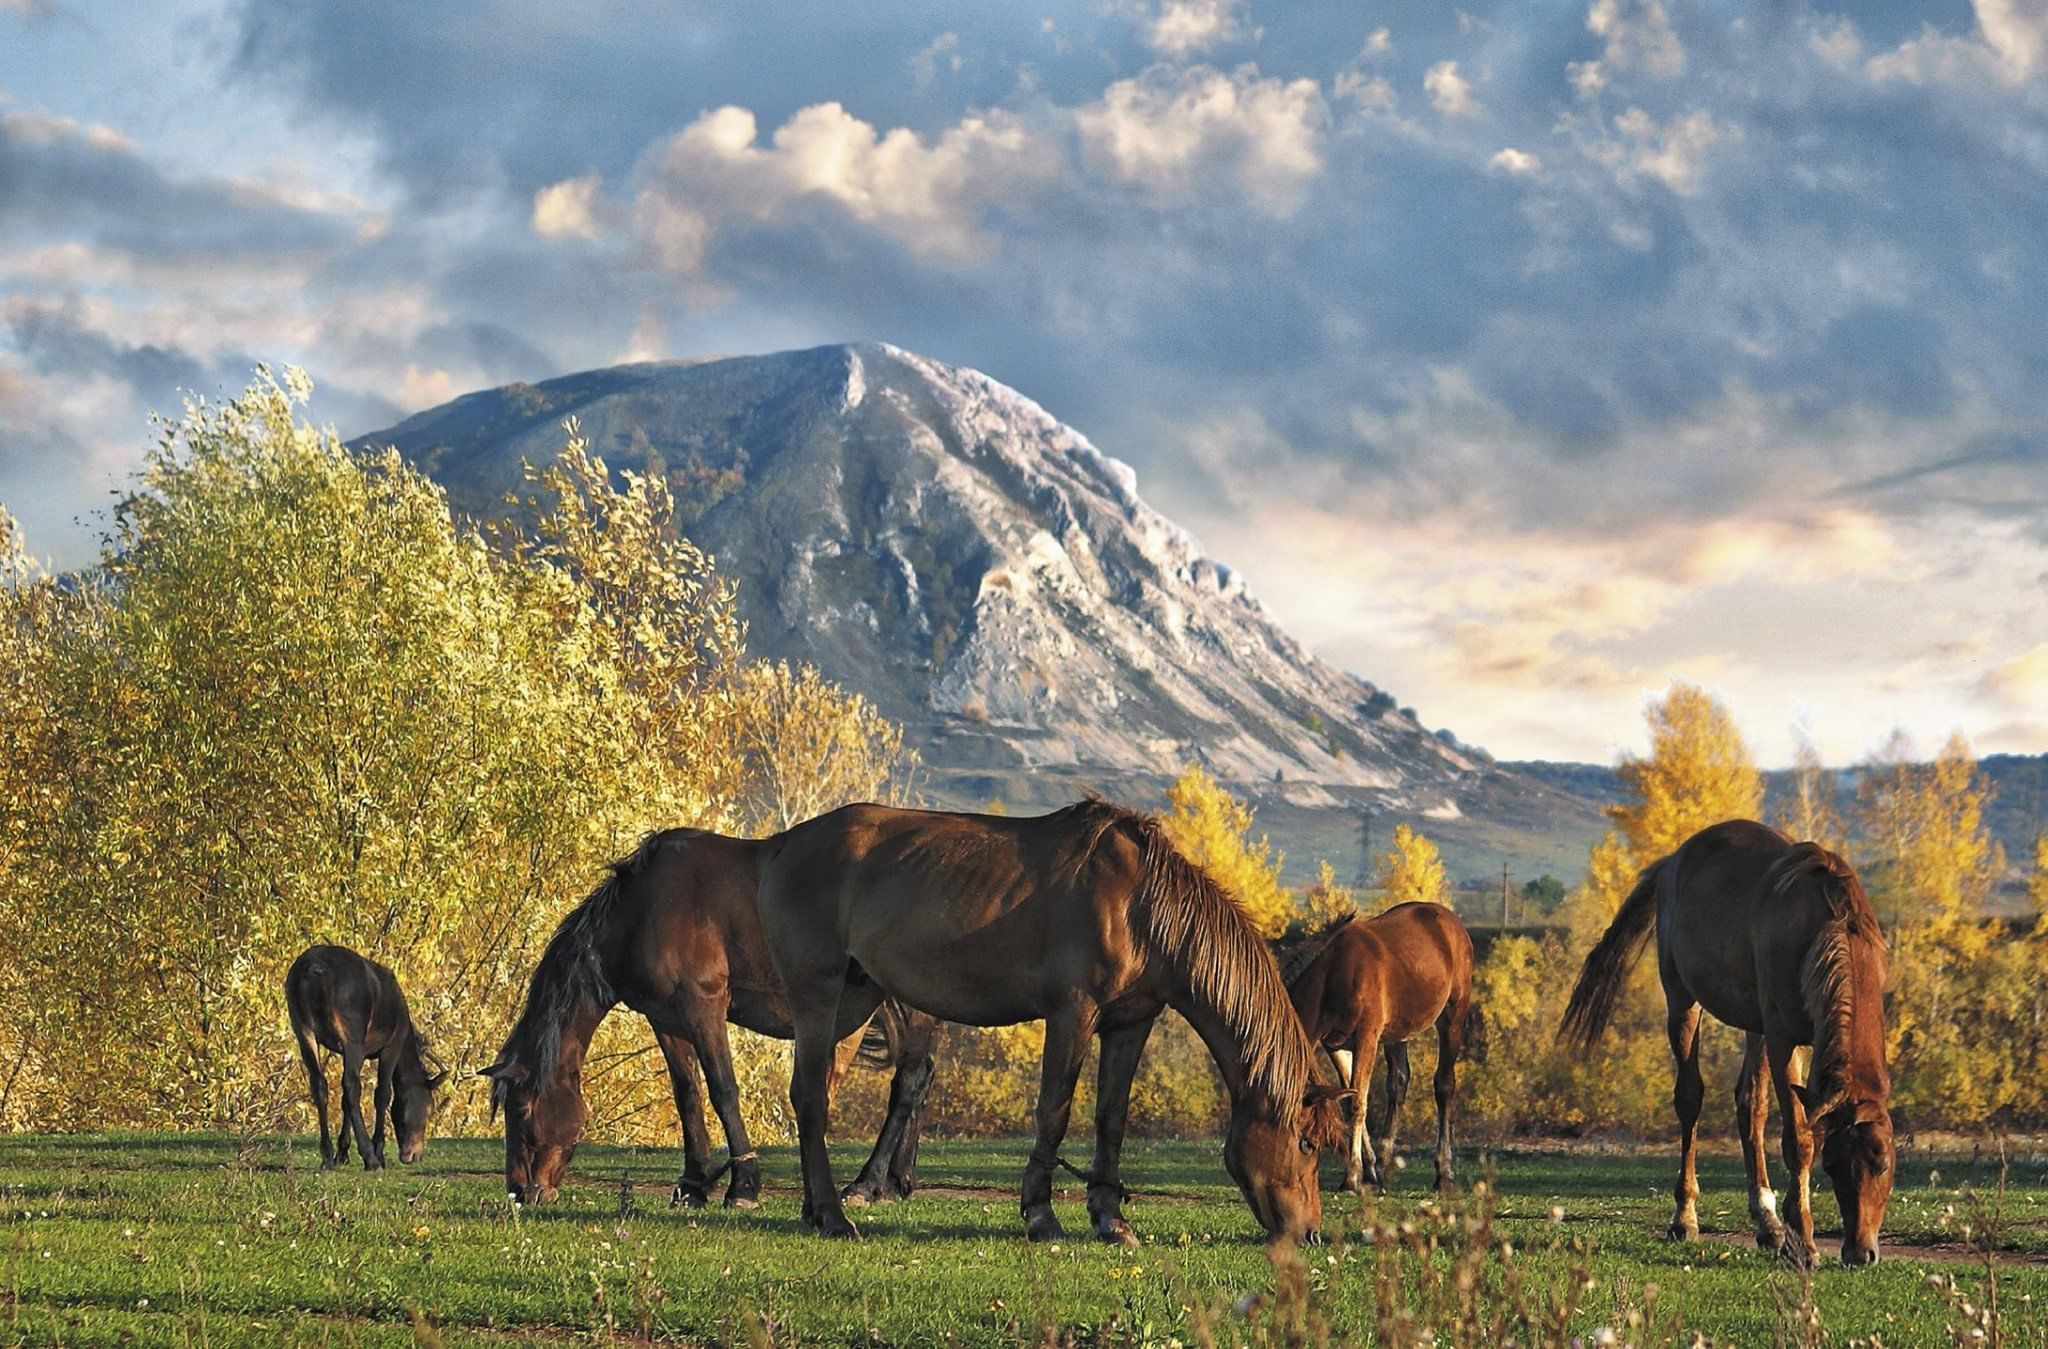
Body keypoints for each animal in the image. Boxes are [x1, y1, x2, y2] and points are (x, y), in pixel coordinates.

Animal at [284, 949, 448, 1170]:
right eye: (429, 1110)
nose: (413, 1155)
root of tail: (315, 968)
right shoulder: (391, 1046)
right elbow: (383, 1094)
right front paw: (378, 1152)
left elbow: (344, 1101)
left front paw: (342, 1153)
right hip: (352, 1037)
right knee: (352, 1087)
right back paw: (370, 1157)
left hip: (303, 1030)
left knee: (320, 1084)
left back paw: (327, 1156)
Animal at [479, 827, 937, 1211]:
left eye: (521, 1110)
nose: (520, 1191)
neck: (644, 909)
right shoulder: (665, 1017)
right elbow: (688, 1094)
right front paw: (693, 1183)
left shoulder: (703, 1005)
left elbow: (723, 1090)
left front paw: (743, 1185)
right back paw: (895, 1180)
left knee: (909, 1084)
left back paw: (868, 1182)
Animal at [753, 798, 1359, 1252]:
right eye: (1307, 1142)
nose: (1309, 1233)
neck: (1141, 905)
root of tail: (786, 844)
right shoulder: (1073, 1013)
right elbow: (1055, 1112)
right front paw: (1042, 1216)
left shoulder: (1129, 1023)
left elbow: (1111, 1118)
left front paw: (1112, 1219)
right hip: (818, 994)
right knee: (810, 1097)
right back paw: (835, 1215)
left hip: (856, 1001)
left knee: (815, 1093)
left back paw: (817, 1208)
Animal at [1277, 908, 1474, 1195]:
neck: (1331, 975)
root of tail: (1451, 921)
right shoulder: (1334, 1045)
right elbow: (1349, 1098)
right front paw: (1368, 1172)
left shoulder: (1366, 1037)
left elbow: (1358, 1103)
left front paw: (1352, 1177)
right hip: (1397, 1034)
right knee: (1399, 1084)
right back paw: (1383, 1166)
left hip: (1452, 1016)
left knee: (1444, 1086)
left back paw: (1444, 1175)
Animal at [1564, 818, 1884, 1269]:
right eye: (1833, 1167)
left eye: (1882, 1162)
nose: (1860, 1252)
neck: (1825, 928)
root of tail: (1672, 862)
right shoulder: (1783, 1039)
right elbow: (1798, 1140)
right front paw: (1802, 1241)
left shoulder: (1799, 1039)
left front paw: (1785, 1228)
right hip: (1683, 1001)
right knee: (1689, 1099)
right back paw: (1685, 1217)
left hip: (1755, 1026)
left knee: (1749, 1104)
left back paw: (1767, 1222)